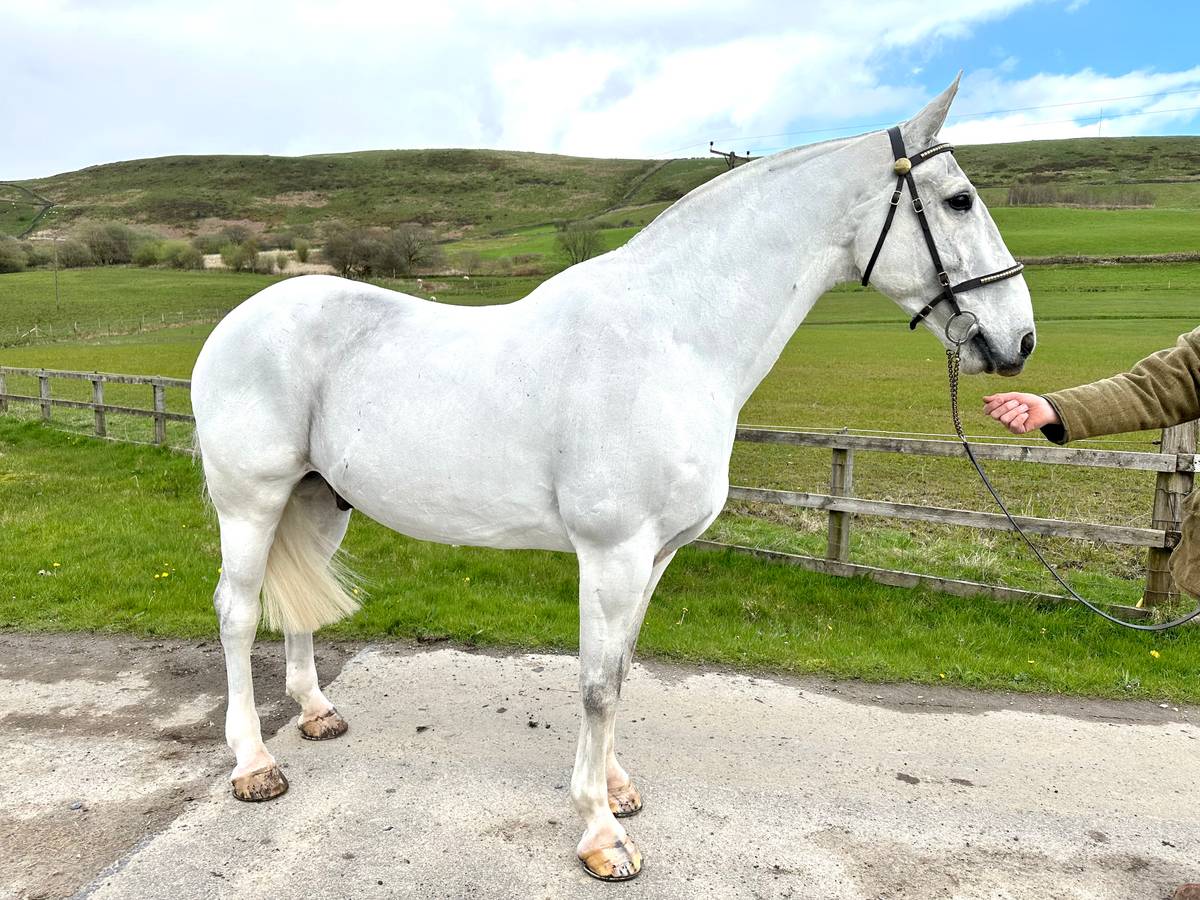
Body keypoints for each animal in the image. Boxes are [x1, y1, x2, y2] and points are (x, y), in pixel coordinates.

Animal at [191, 75, 1034, 882]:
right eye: (959, 199)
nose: (1018, 340)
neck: (673, 335)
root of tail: (234, 324)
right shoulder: (614, 552)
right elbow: (597, 684)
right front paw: (600, 835)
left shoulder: (654, 556)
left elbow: (622, 670)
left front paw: (617, 790)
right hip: (251, 501)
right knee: (237, 612)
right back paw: (255, 764)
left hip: (320, 501)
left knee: (298, 604)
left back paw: (316, 713)